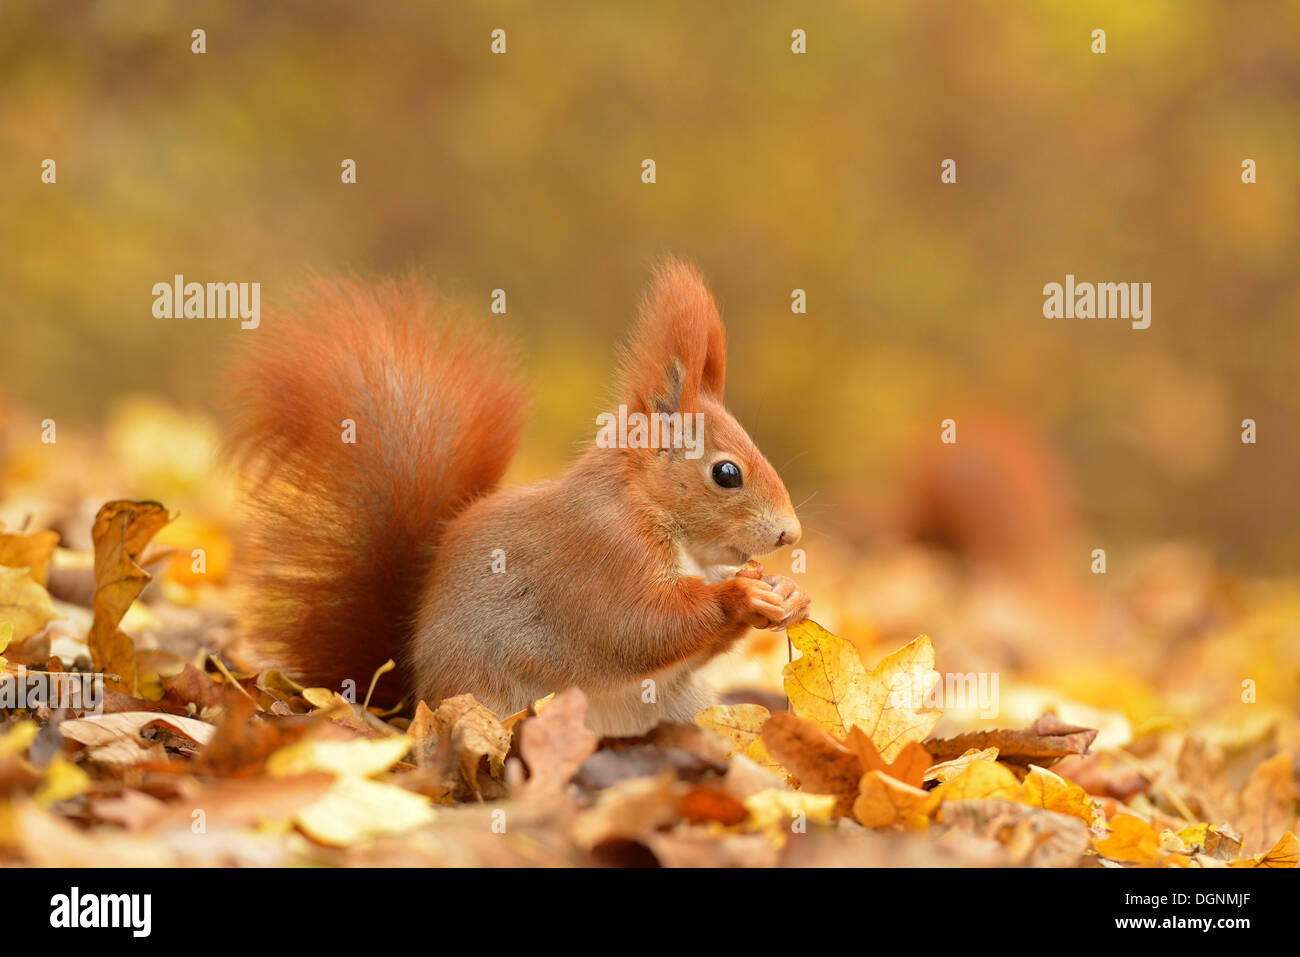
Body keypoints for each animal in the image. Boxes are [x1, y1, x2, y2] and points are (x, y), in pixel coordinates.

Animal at [226, 260, 810, 735]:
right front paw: (742, 595)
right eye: (727, 473)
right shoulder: (602, 556)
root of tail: (413, 703)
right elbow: (640, 628)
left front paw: (788, 593)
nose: (791, 534)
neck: (647, 505)